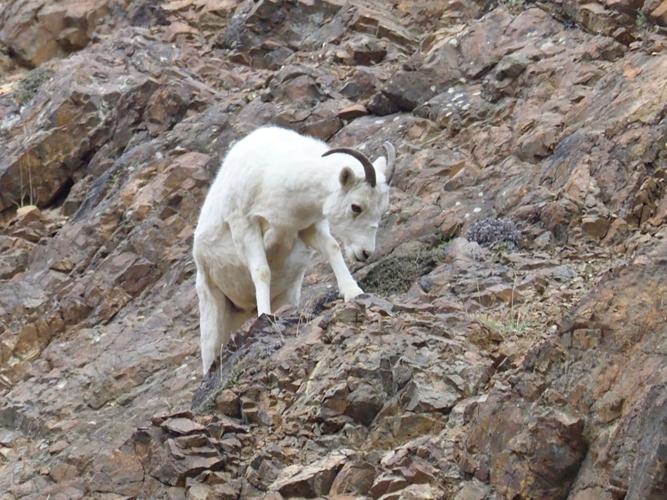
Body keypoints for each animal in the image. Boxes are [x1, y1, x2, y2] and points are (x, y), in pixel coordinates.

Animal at [193, 126, 396, 375]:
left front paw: (353, 292)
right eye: (356, 207)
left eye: (381, 209)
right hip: (212, 314)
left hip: (287, 296)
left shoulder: (307, 228)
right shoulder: (245, 226)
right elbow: (262, 271)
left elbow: (332, 247)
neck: (273, 172)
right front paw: (264, 315)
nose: (365, 253)